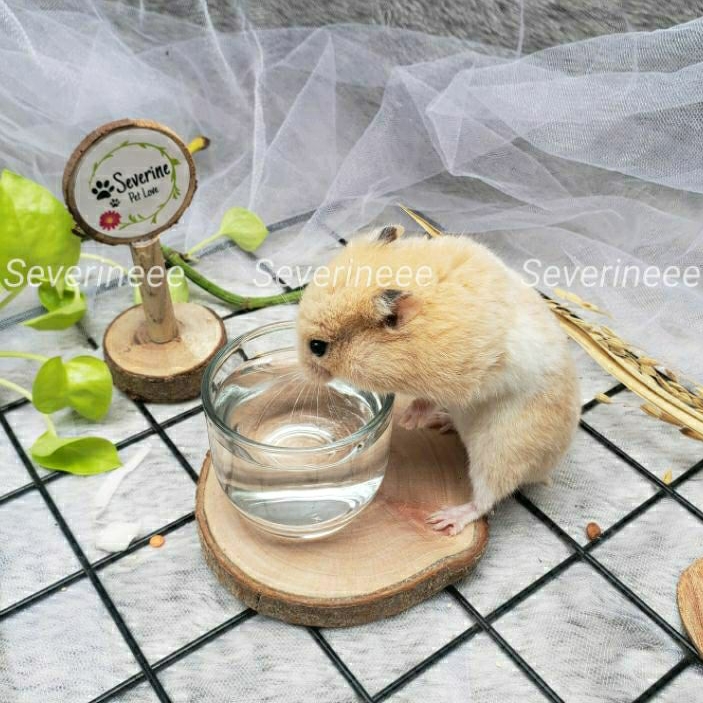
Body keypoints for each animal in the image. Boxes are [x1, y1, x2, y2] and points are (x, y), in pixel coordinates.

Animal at [296, 225, 581, 536]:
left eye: (317, 347)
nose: (302, 370)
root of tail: (548, 468)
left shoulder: (463, 380)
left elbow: (431, 398)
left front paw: (409, 421)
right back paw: (442, 424)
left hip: (501, 451)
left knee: (486, 499)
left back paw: (444, 520)